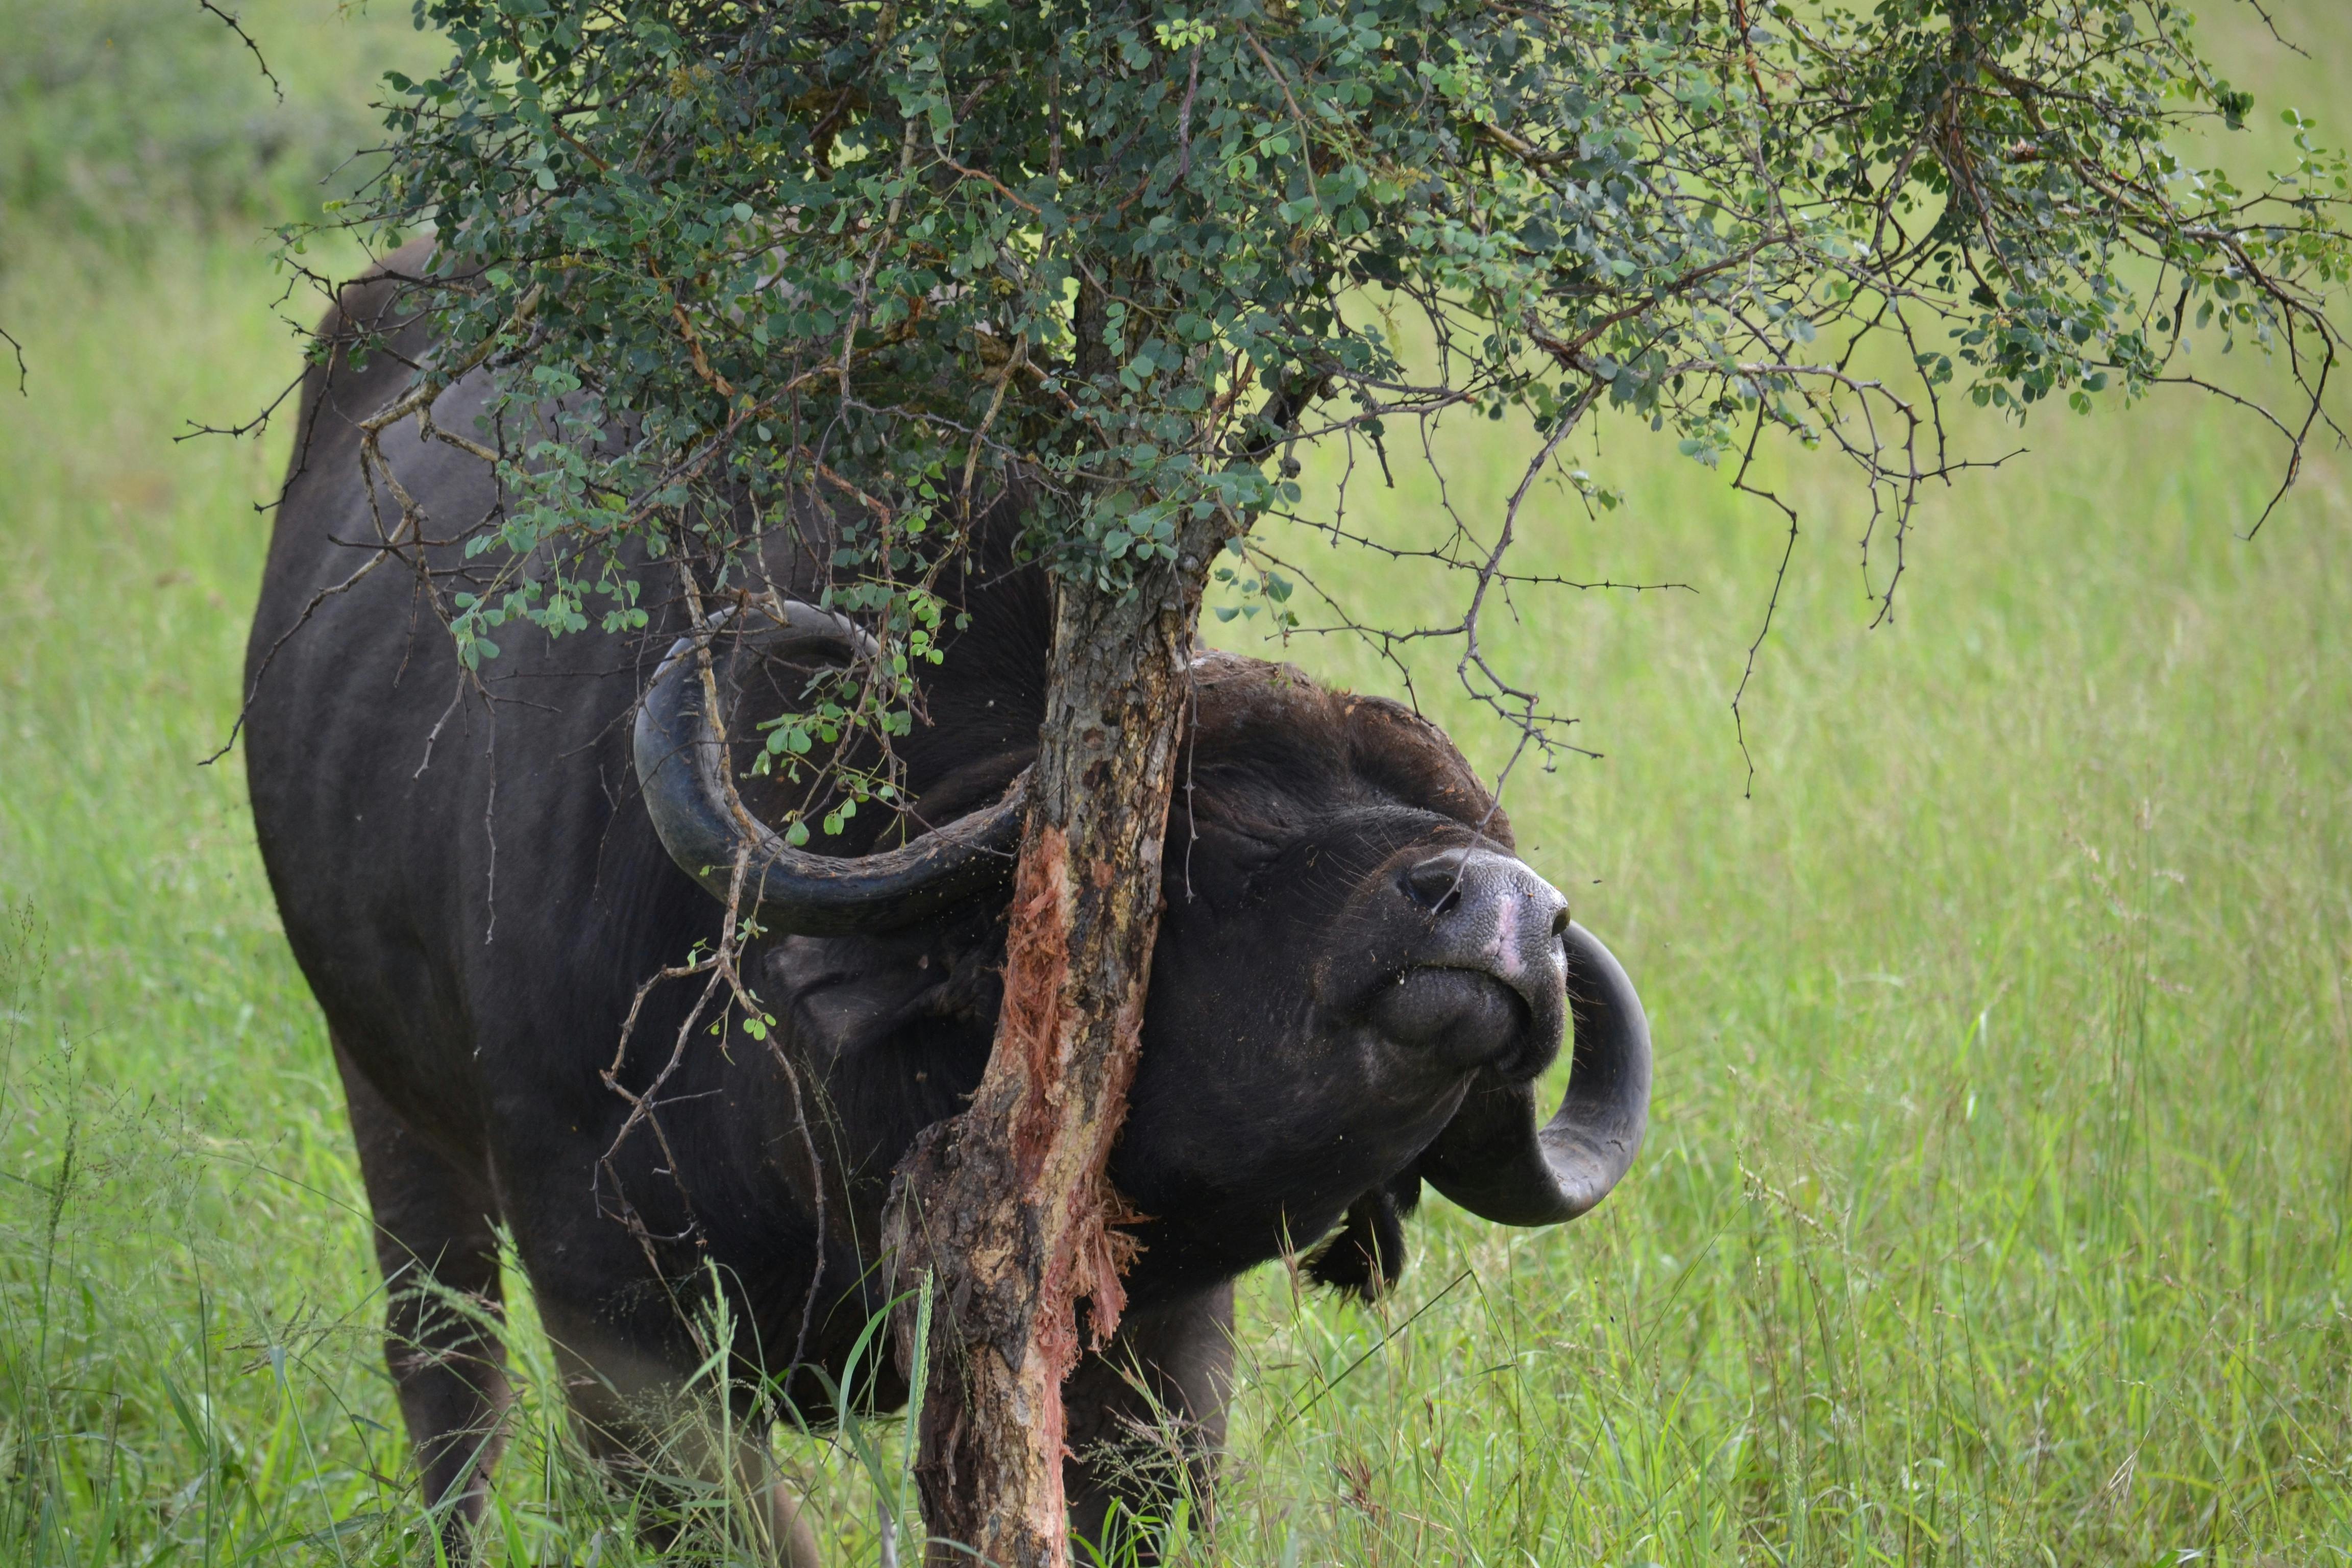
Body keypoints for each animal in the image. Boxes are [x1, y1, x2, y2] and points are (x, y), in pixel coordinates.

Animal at [243, 249, 1651, 1561]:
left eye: (1488, 835)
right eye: (1230, 808)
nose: (1509, 912)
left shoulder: (1153, 1339)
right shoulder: (620, 1336)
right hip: (386, 1106)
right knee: (447, 1376)